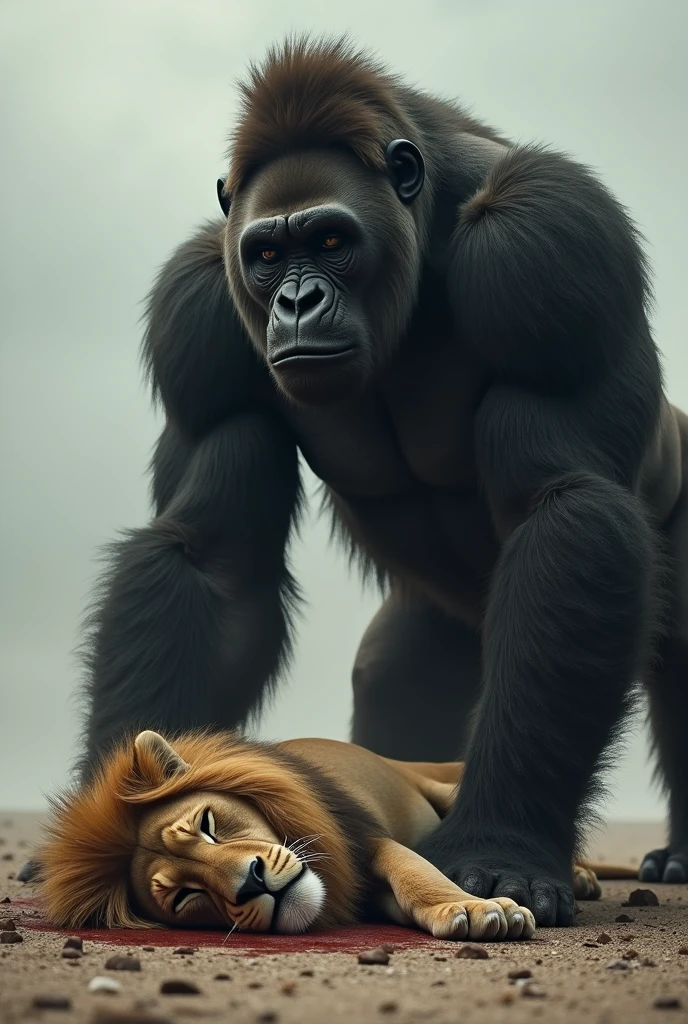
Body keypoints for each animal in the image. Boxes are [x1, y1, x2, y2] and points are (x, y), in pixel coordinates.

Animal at [39, 731, 636, 941]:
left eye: (208, 825)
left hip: (445, 784)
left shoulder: (364, 838)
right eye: (186, 897)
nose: (252, 884)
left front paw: (475, 908)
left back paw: (581, 877)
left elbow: (417, 871)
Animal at [44, 36, 688, 921]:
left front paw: (502, 849)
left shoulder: (549, 246)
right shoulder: (197, 310)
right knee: (396, 680)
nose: (298, 302)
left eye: (330, 241)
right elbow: (211, 559)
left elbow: (566, 508)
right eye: (268, 254)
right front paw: (108, 809)